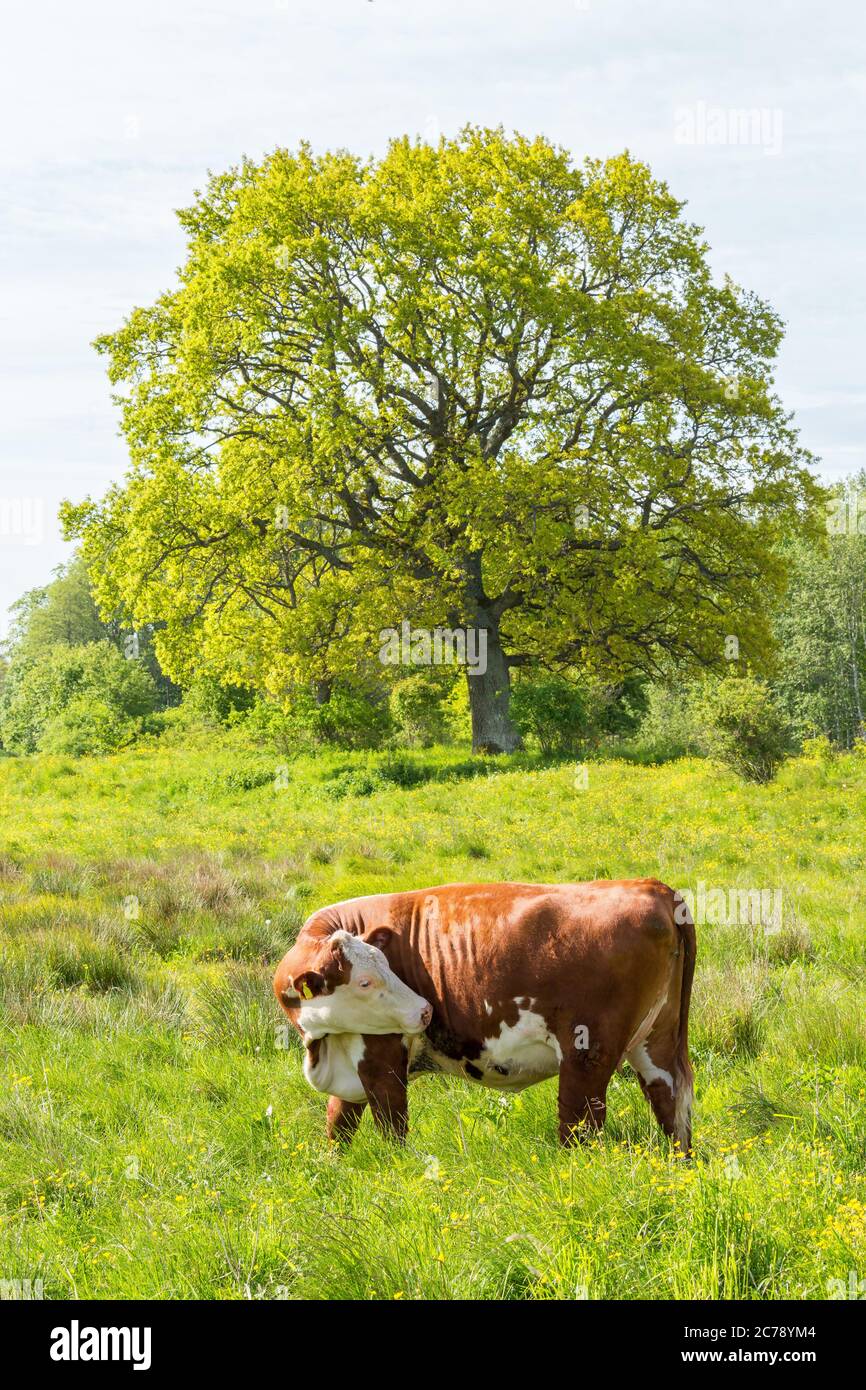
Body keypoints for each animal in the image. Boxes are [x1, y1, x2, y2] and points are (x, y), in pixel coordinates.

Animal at [273, 879, 695, 1150]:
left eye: (386, 967)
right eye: (364, 981)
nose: (425, 1010)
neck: (322, 1049)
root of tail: (652, 886)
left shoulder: (380, 1058)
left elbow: (391, 1129)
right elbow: (338, 1126)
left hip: (587, 1052)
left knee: (581, 1127)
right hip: (656, 1039)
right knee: (670, 1104)